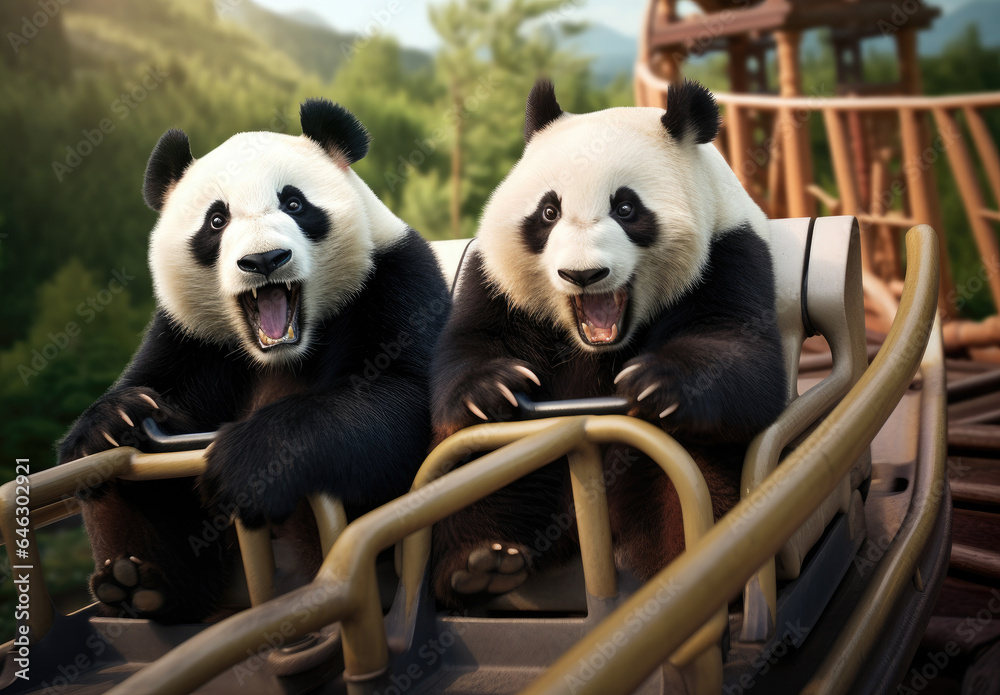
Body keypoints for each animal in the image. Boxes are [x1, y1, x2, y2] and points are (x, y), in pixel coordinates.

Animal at [57, 99, 450, 622]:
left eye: (295, 204)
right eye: (216, 220)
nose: (264, 260)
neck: (281, 354)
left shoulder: (393, 278)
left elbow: (399, 399)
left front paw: (251, 465)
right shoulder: (190, 337)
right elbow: (151, 396)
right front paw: (110, 421)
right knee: (121, 490)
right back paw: (139, 584)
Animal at [430, 80, 787, 606]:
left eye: (625, 207)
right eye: (549, 211)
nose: (582, 274)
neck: (599, 348)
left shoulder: (730, 253)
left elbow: (740, 356)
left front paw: (656, 382)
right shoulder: (496, 280)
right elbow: (468, 349)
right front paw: (491, 388)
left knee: (698, 485)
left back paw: (689, 573)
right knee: (476, 473)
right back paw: (480, 565)